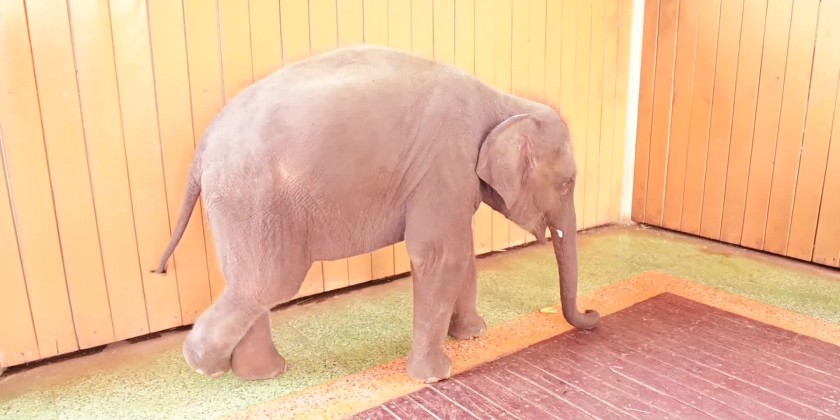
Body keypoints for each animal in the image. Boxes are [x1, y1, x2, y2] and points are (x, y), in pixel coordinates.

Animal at [153, 45, 599, 384]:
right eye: (566, 184)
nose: (593, 315)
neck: (505, 100)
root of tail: (205, 142)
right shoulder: (444, 165)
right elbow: (441, 255)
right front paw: (435, 376)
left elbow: (462, 251)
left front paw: (472, 336)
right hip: (254, 199)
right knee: (268, 282)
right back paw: (205, 367)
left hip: (239, 204)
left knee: (249, 283)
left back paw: (262, 375)